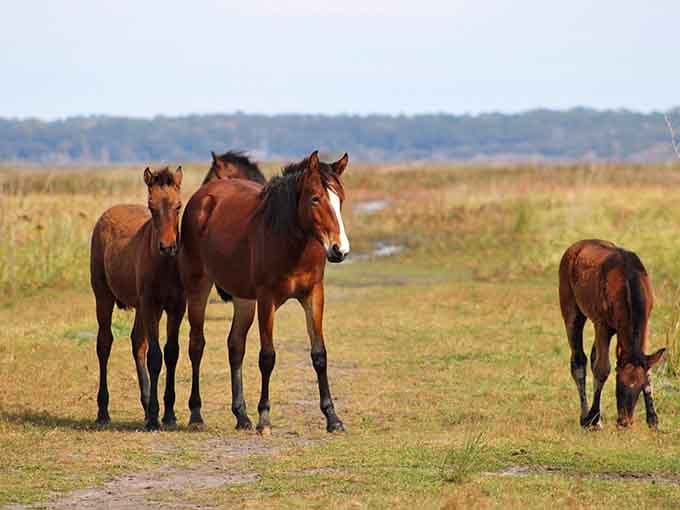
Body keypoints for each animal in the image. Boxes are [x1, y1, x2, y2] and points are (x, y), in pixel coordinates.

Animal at [90, 166, 185, 430]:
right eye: (151, 206)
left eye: (178, 205)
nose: (168, 247)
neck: (165, 266)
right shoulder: (151, 305)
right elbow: (155, 356)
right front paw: (154, 417)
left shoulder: (176, 307)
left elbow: (171, 353)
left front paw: (169, 415)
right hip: (103, 297)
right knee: (104, 344)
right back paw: (103, 412)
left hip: (140, 308)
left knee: (137, 343)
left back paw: (144, 404)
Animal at [179, 150, 350, 434]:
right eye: (315, 198)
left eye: (341, 200)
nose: (339, 250)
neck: (290, 240)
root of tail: (202, 197)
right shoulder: (267, 300)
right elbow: (267, 357)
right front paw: (265, 418)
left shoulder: (313, 295)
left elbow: (319, 355)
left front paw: (333, 418)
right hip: (198, 287)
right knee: (197, 345)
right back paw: (196, 414)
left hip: (244, 300)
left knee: (235, 345)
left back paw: (241, 416)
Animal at [559, 239, 665, 429]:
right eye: (619, 385)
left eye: (639, 388)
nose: (625, 422)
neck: (627, 280)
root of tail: (576, 246)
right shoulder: (602, 325)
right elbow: (602, 369)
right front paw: (593, 418)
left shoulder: (645, 323)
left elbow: (648, 370)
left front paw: (653, 419)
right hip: (572, 312)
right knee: (579, 360)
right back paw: (586, 417)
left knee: (592, 357)